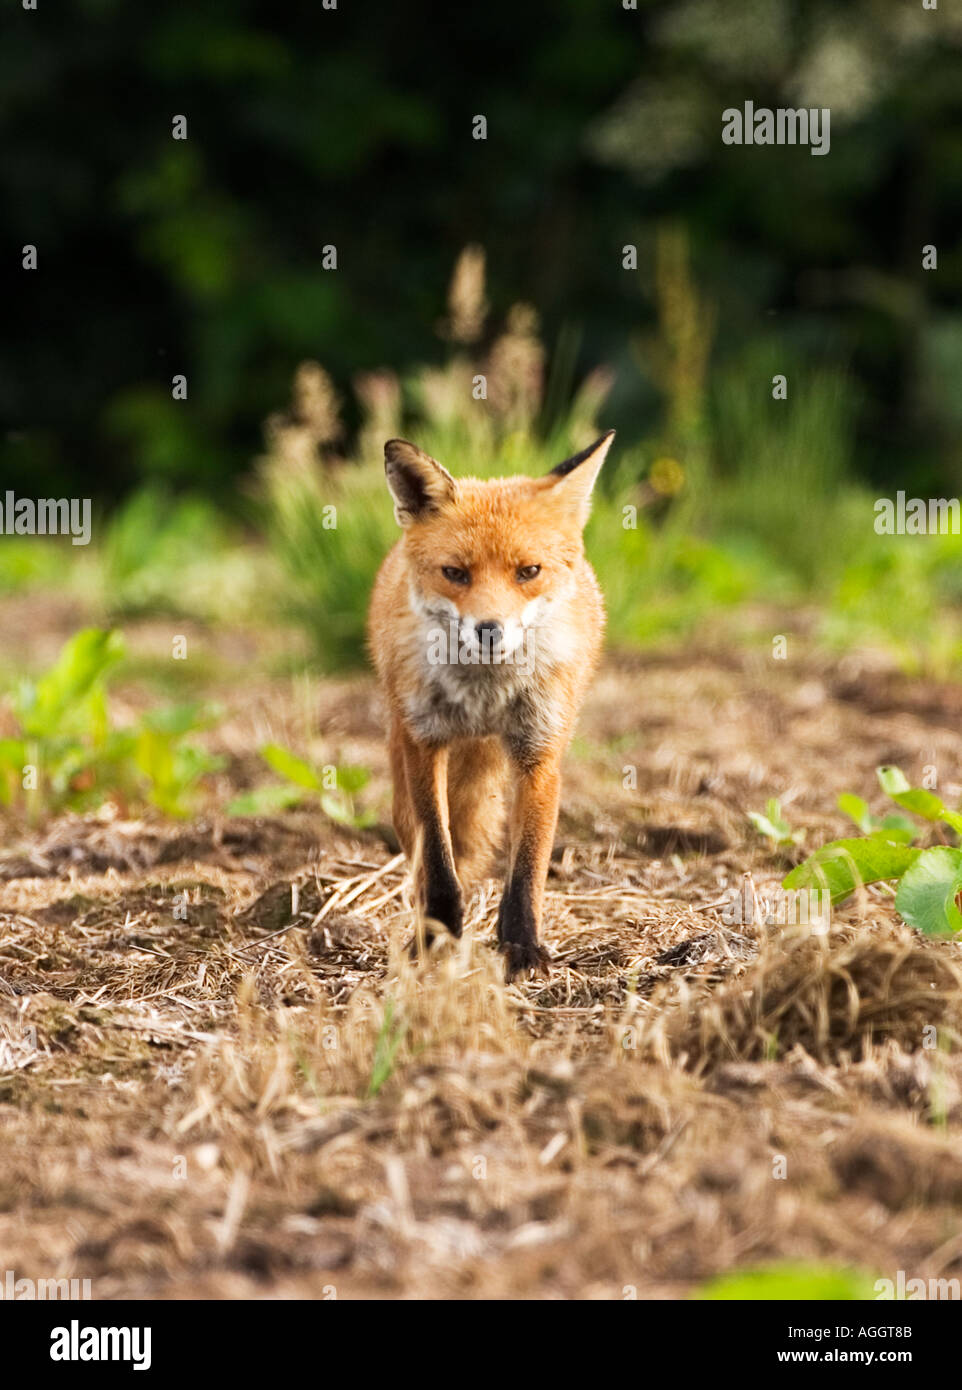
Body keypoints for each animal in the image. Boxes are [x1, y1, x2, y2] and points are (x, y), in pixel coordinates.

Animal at [367, 429, 615, 978]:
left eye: (529, 571)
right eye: (455, 573)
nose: (489, 631)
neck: (485, 698)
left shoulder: (539, 753)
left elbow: (528, 867)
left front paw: (522, 947)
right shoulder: (425, 745)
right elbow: (440, 864)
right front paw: (435, 941)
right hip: (400, 770)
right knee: (421, 854)